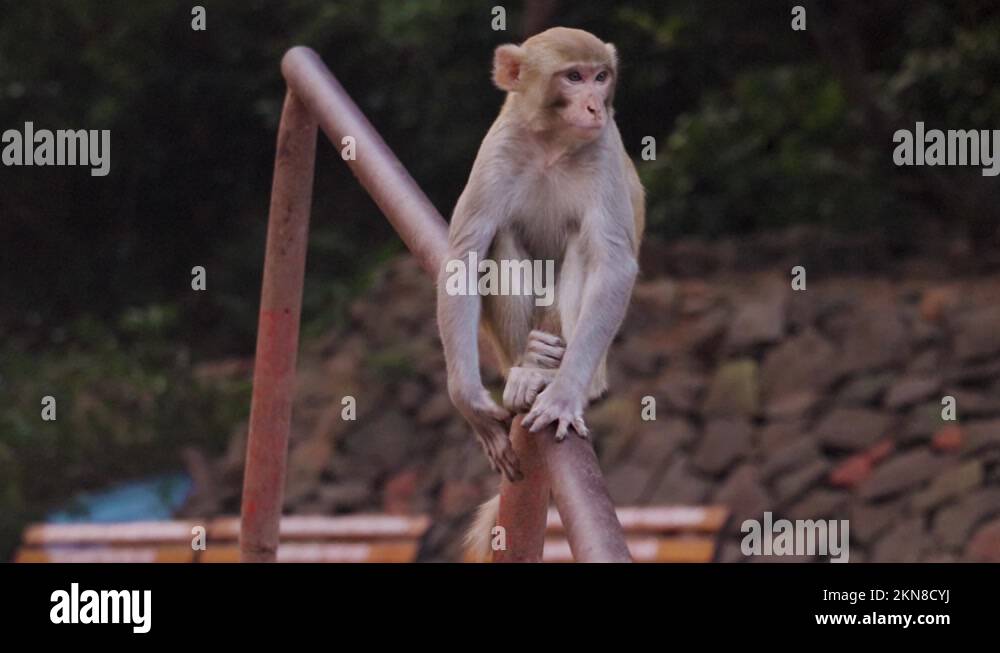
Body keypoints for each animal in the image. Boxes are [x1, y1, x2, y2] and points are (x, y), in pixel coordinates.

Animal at [435, 27, 645, 553]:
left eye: (600, 76)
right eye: (573, 77)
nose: (594, 105)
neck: (553, 142)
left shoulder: (604, 147)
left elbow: (613, 261)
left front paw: (565, 393)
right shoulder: (499, 145)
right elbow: (465, 254)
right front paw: (468, 399)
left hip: (592, 355)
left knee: (583, 241)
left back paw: (552, 374)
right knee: (502, 234)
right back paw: (527, 364)